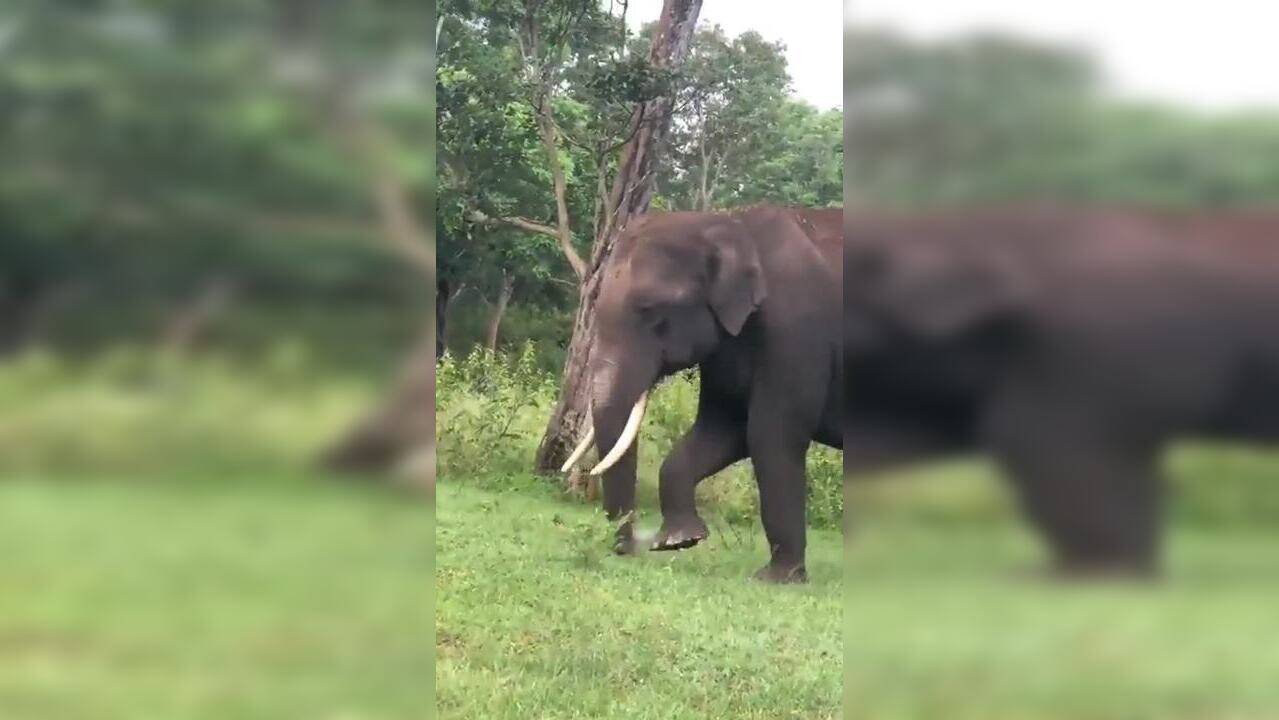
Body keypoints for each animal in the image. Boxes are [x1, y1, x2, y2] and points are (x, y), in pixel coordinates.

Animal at [561, 205, 843, 583]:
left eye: (650, 310)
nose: (629, 548)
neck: (727, 223)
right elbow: (722, 431)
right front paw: (680, 540)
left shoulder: (796, 331)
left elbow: (770, 435)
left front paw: (776, 579)